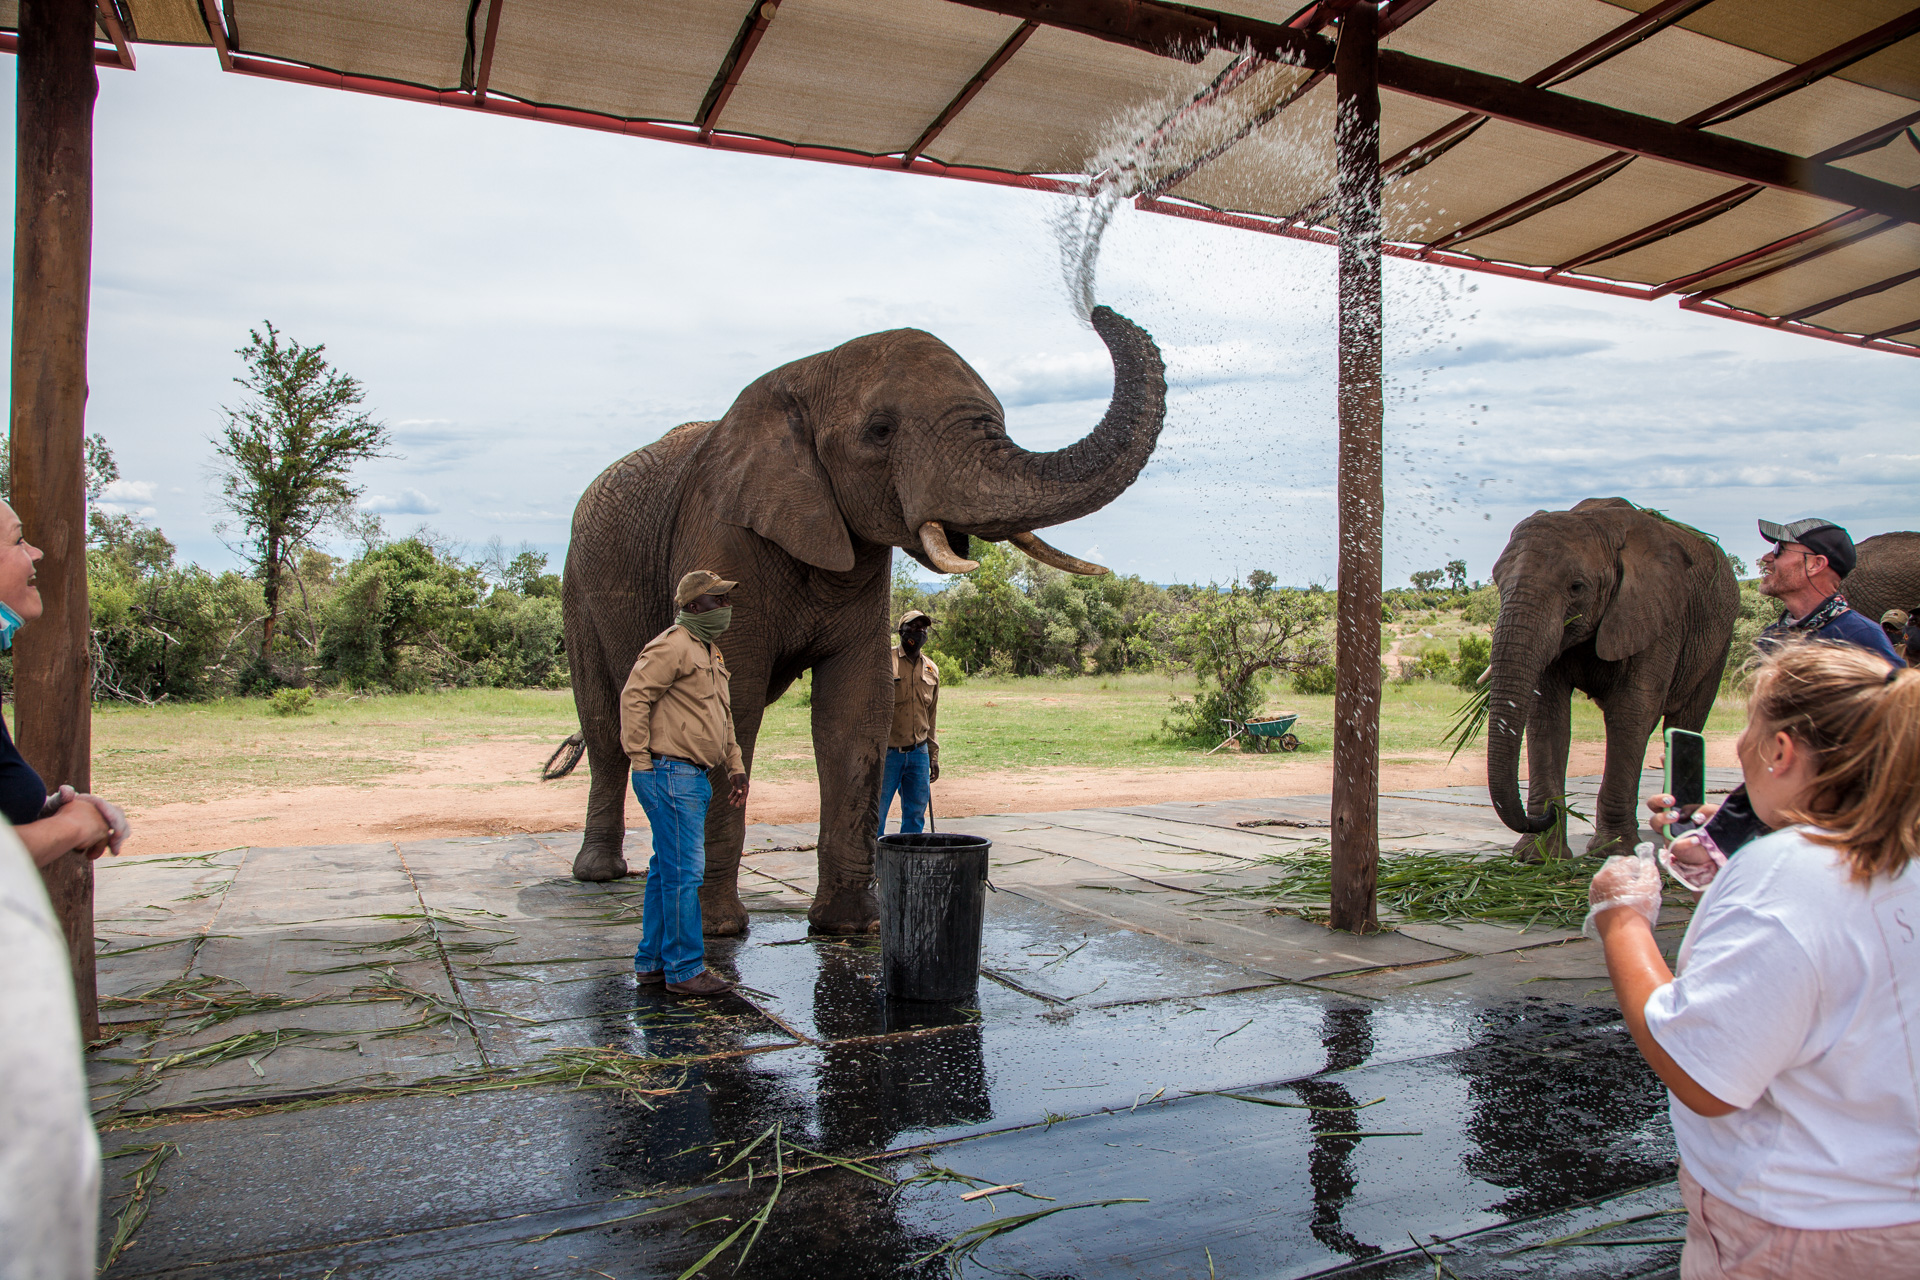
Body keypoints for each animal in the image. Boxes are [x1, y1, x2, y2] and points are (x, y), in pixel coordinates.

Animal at [560, 306, 1165, 934]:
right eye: (880, 432)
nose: (1097, 310)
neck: (806, 372)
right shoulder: (720, 534)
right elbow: (734, 703)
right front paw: (718, 930)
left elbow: (855, 711)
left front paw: (852, 928)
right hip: (578, 586)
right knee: (605, 726)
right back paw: (601, 875)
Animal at [1484, 498, 1740, 859]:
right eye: (1497, 582)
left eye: (1576, 587)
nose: (1546, 814)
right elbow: (1548, 717)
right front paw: (1538, 856)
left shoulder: (1657, 616)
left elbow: (1631, 712)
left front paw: (1613, 852)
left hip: (1718, 643)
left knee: (1685, 723)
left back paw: (1679, 829)